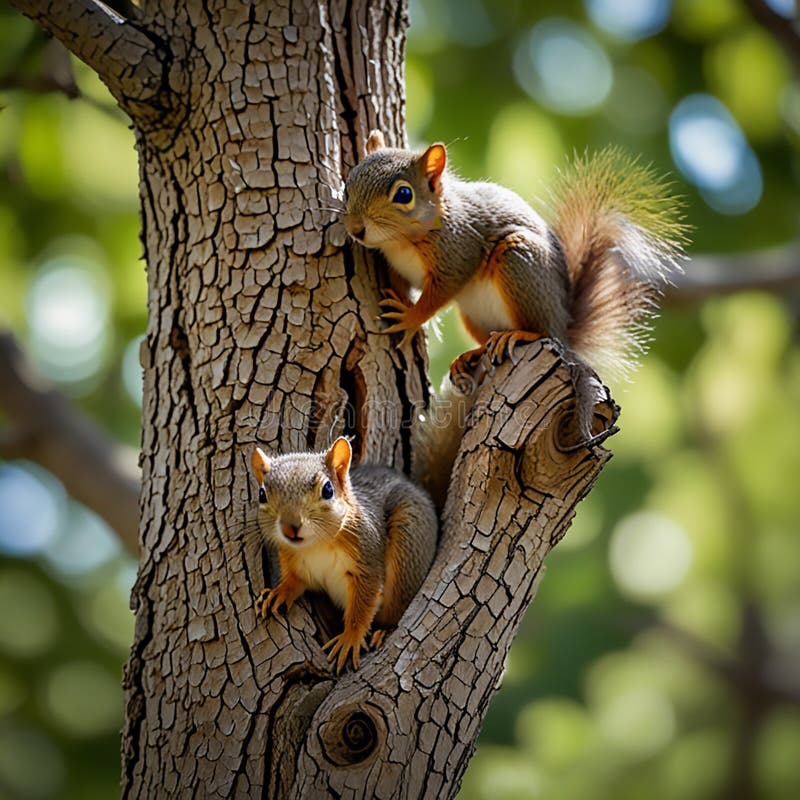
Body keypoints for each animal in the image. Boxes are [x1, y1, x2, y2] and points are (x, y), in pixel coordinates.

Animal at [250, 437, 438, 673]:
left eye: (328, 490)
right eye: (262, 494)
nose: (290, 527)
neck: (316, 544)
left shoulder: (367, 556)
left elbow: (363, 602)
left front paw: (349, 638)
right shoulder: (292, 559)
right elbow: (297, 580)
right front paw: (280, 591)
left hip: (408, 544)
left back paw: (383, 631)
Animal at [343, 131, 687, 442]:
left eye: (404, 195)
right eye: (348, 184)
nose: (356, 229)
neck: (401, 240)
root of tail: (562, 322)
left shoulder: (459, 252)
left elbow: (437, 294)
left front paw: (409, 318)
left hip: (517, 262)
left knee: (541, 331)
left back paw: (518, 335)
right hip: (473, 313)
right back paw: (475, 352)